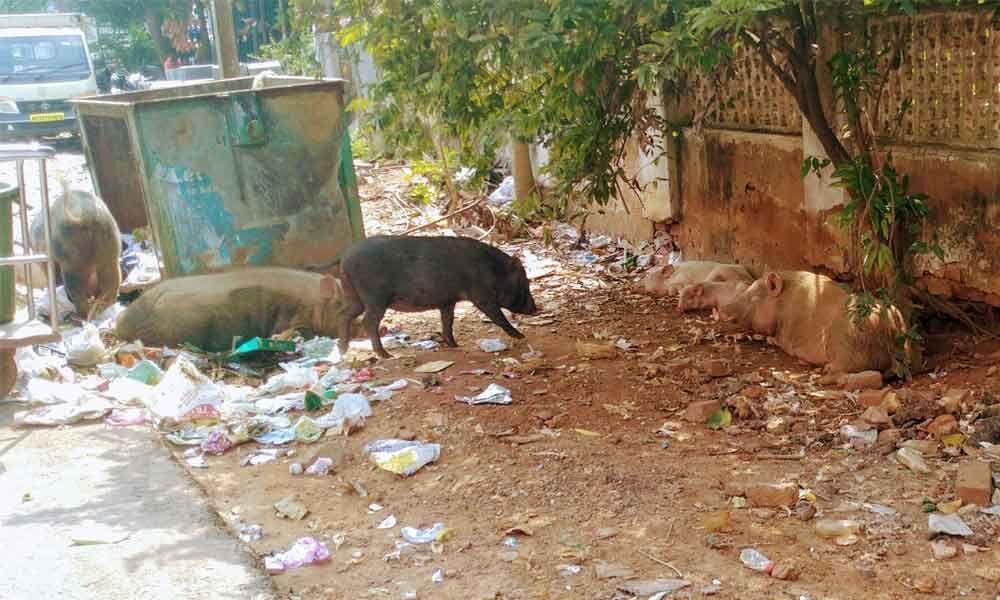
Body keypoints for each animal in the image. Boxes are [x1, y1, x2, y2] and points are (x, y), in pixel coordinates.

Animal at [25, 181, 122, 318]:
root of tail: (84, 217)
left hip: (72, 262)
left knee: (76, 290)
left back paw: (82, 314)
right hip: (110, 250)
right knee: (112, 283)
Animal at [336, 235, 539, 358]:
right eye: (524, 282)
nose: (536, 309)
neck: (492, 270)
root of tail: (345, 259)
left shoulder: (448, 301)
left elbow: (448, 321)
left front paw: (454, 345)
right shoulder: (481, 296)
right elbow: (498, 317)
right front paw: (521, 336)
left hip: (354, 296)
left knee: (345, 314)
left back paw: (343, 350)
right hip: (375, 297)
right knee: (368, 322)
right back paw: (385, 355)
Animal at [717, 270, 920, 374]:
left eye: (751, 298)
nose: (722, 310)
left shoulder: (787, 332)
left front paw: (769, 340)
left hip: (845, 338)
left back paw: (825, 370)